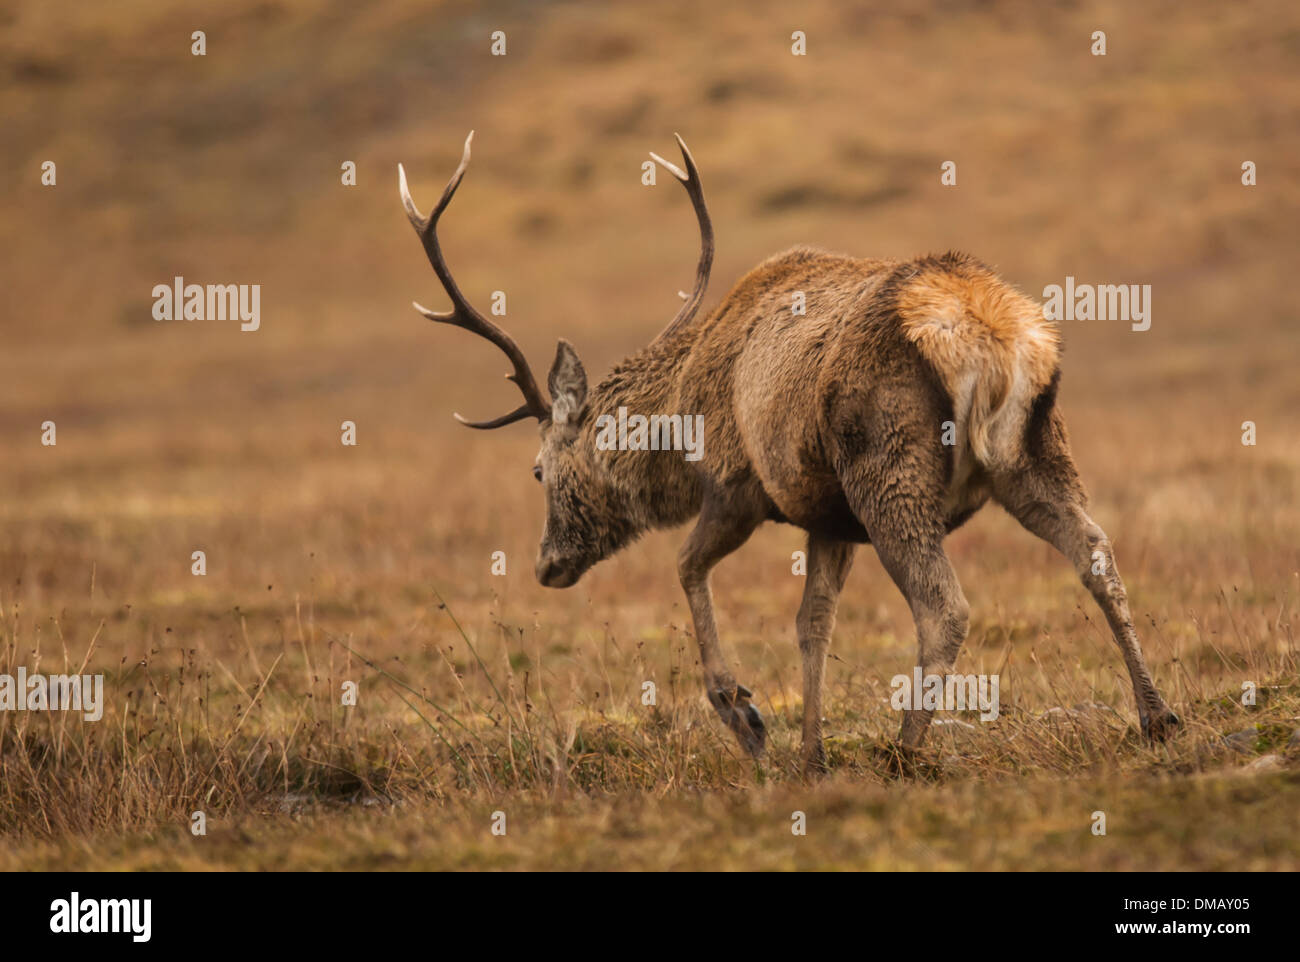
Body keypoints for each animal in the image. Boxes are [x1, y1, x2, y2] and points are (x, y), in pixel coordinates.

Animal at [398, 132, 1181, 775]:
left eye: (537, 469)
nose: (546, 565)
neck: (678, 425)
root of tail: (990, 334)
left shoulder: (737, 488)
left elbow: (686, 567)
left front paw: (745, 718)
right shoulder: (828, 519)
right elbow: (813, 624)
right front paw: (811, 753)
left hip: (888, 467)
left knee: (946, 605)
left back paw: (904, 750)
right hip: (1038, 452)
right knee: (1096, 553)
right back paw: (1157, 716)